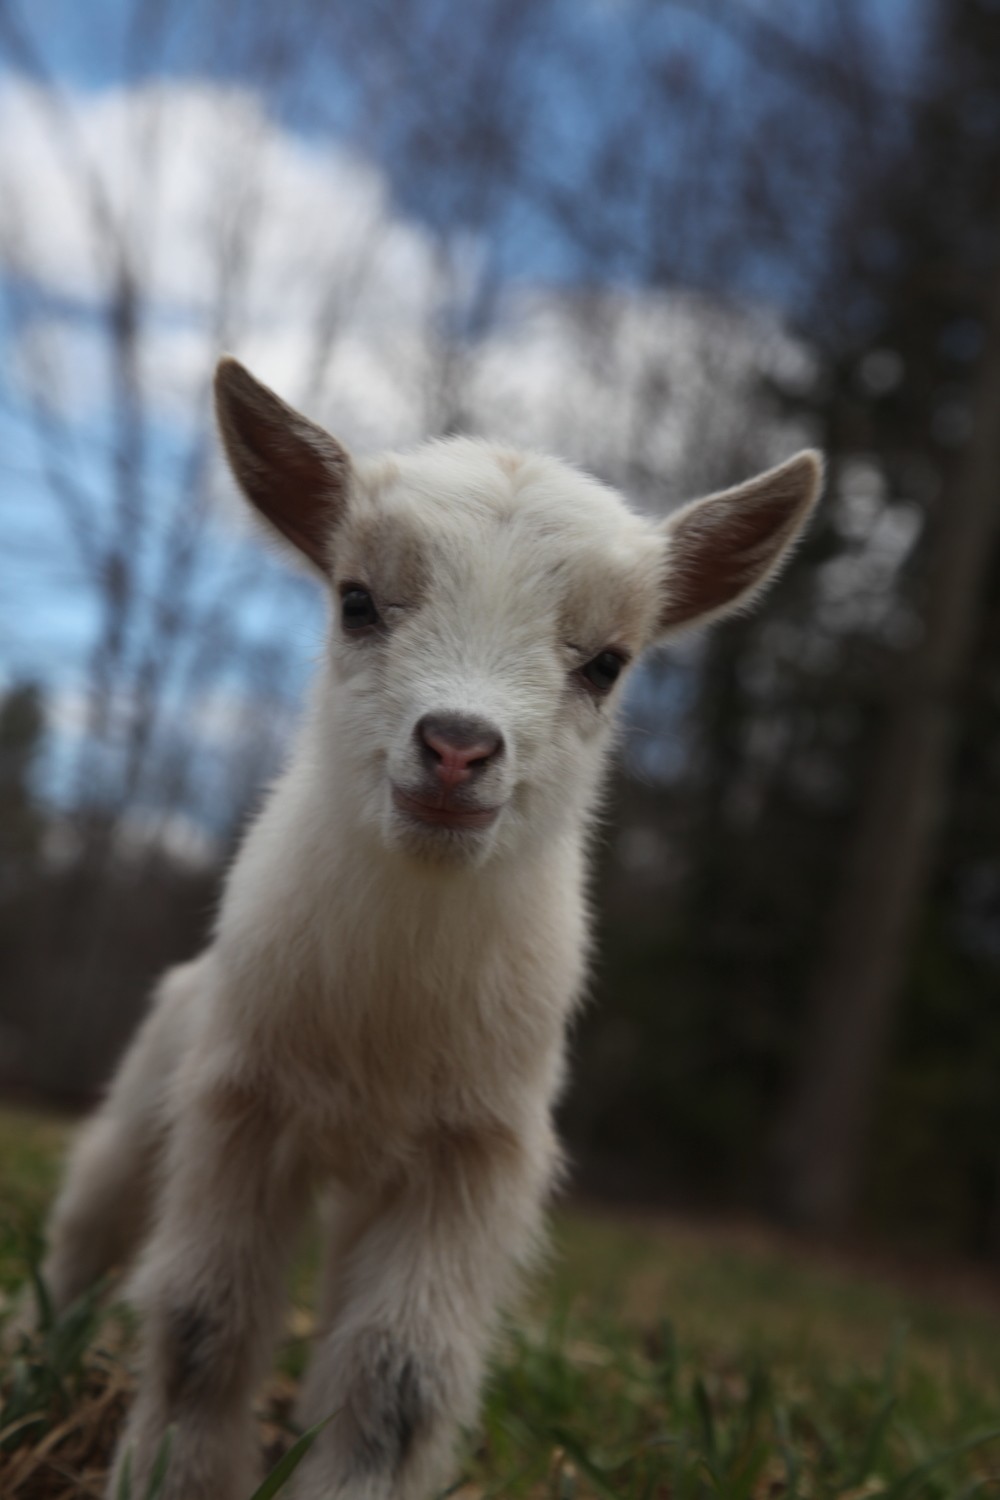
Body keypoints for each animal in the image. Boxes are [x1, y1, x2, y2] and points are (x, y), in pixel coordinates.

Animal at [38, 357, 821, 1500]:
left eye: (608, 662)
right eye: (357, 601)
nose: (456, 747)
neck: (391, 1012)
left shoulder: (471, 1157)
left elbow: (397, 1379)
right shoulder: (241, 1103)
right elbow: (202, 1323)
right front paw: (171, 1474)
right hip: (156, 1080)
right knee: (88, 1221)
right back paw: (34, 1343)